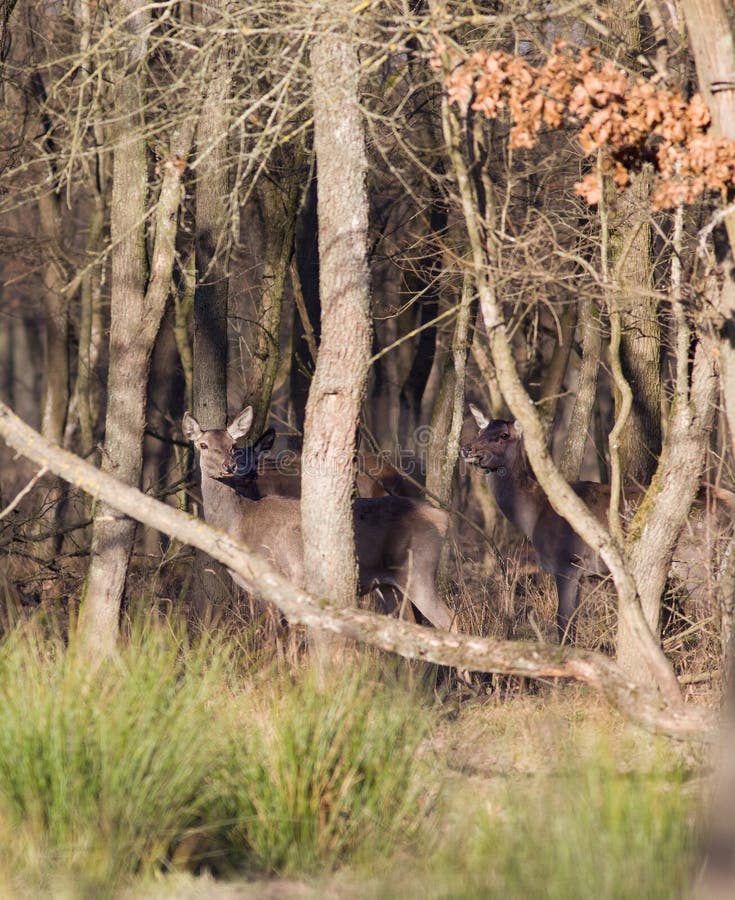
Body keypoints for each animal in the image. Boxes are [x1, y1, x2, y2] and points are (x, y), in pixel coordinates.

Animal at [182, 406, 456, 632]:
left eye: (232, 445)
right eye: (203, 445)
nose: (229, 467)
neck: (240, 523)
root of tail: (443, 517)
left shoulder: (274, 576)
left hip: (418, 569)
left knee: (448, 621)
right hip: (388, 582)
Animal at [461, 405, 735, 643]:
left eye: (503, 435)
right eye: (480, 431)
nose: (467, 449)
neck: (533, 515)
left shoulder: (567, 562)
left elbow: (564, 622)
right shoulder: (582, 574)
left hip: (696, 562)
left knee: (709, 610)